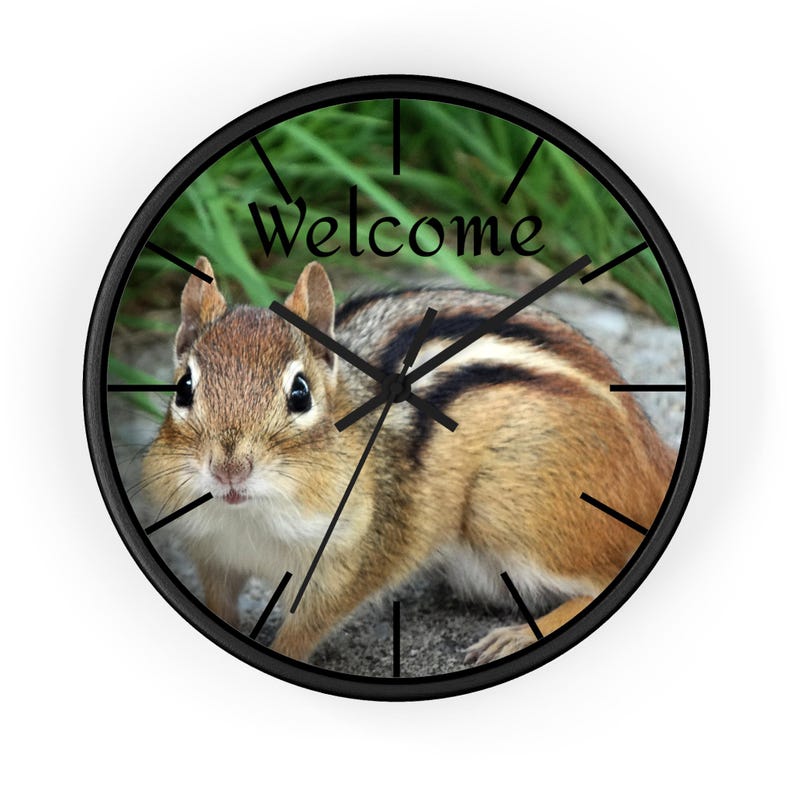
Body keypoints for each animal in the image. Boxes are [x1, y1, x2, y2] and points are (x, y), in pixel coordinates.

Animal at [142, 256, 675, 665]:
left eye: (300, 393)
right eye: (183, 388)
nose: (228, 470)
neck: (250, 518)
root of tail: (653, 460)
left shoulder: (351, 560)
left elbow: (302, 631)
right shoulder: (214, 556)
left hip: (508, 510)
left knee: (603, 577)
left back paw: (518, 635)